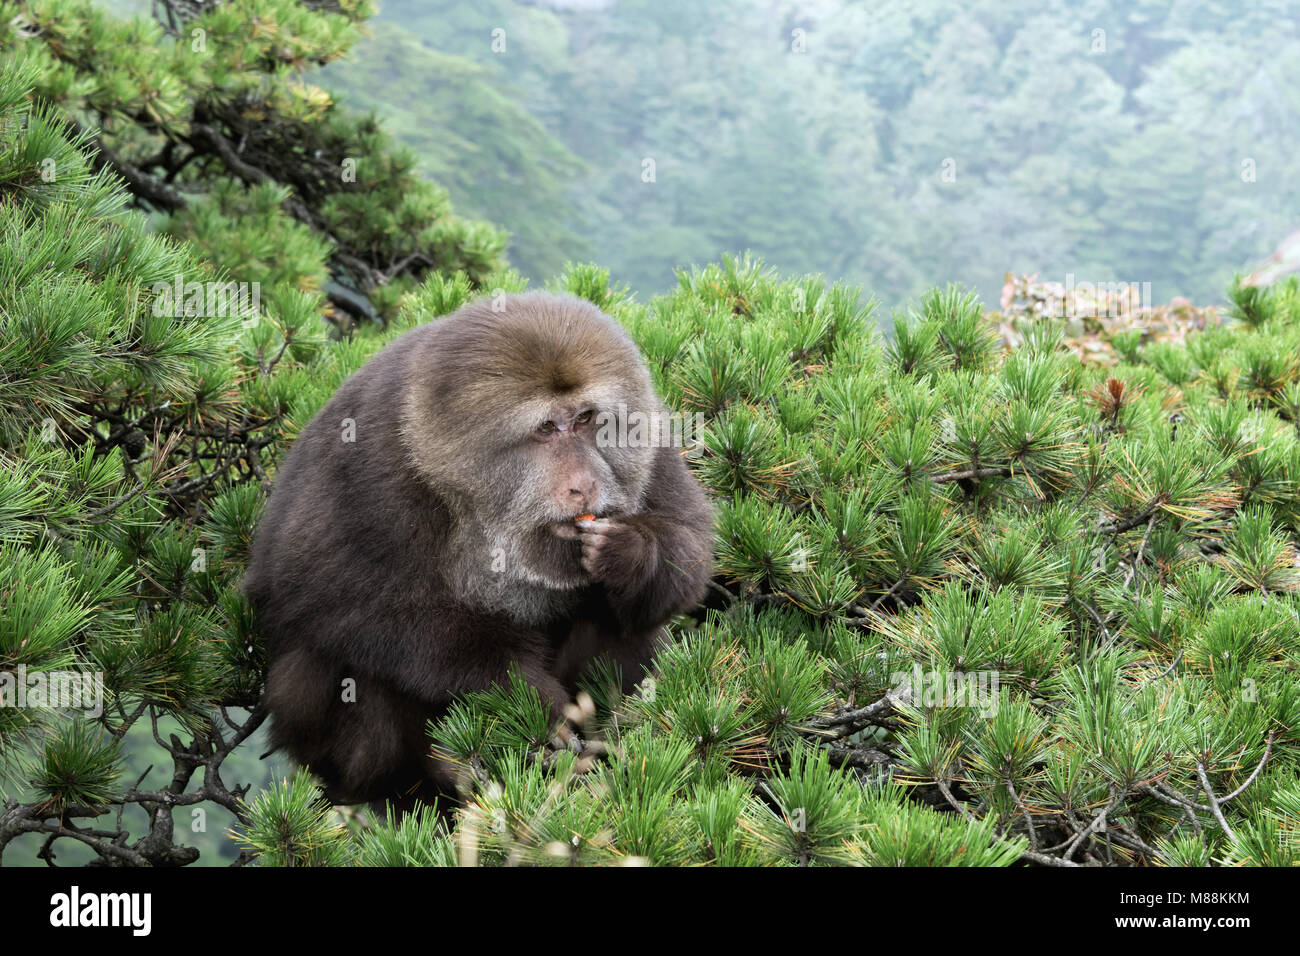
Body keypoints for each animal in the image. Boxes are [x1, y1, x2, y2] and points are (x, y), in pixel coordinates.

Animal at [242, 291, 714, 810]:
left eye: (586, 419)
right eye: (546, 428)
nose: (585, 485)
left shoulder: (650, 442)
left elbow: (690, 547)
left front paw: (628, 553)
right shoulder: (370, 463)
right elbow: (319, 598)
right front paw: (527, 692)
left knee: (616, 617)